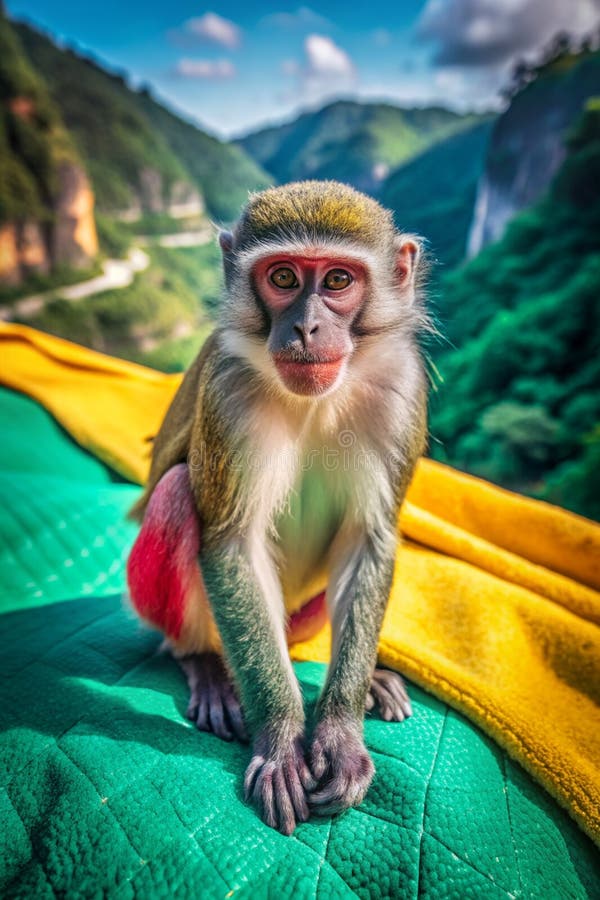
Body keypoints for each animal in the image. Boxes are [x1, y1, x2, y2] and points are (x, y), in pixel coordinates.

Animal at [127, 180, 428, 835]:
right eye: (284, 277)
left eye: (337, 280)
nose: (308, 327)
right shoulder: (228, 391)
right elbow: (232, 542)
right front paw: (284, 739)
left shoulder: (402, 390)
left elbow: (368, 540)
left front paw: (339, 731)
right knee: (176, 496)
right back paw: (207, 667)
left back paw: (369, 680)